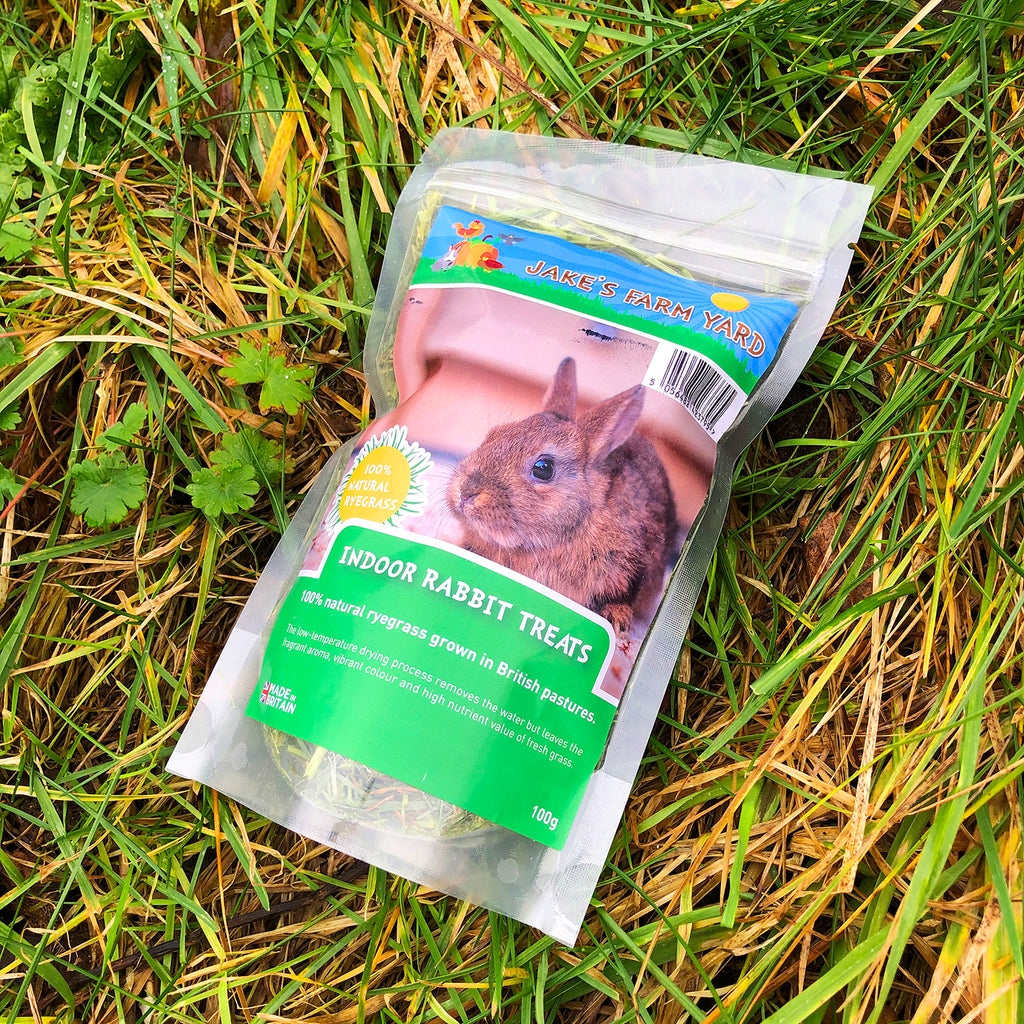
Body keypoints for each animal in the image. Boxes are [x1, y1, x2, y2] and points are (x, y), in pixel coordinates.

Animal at [446, 357, 677, 638]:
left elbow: (623, 596)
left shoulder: (633, 561)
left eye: (544, 468)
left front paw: (618, 620)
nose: (466, 491)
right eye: (492, 435)